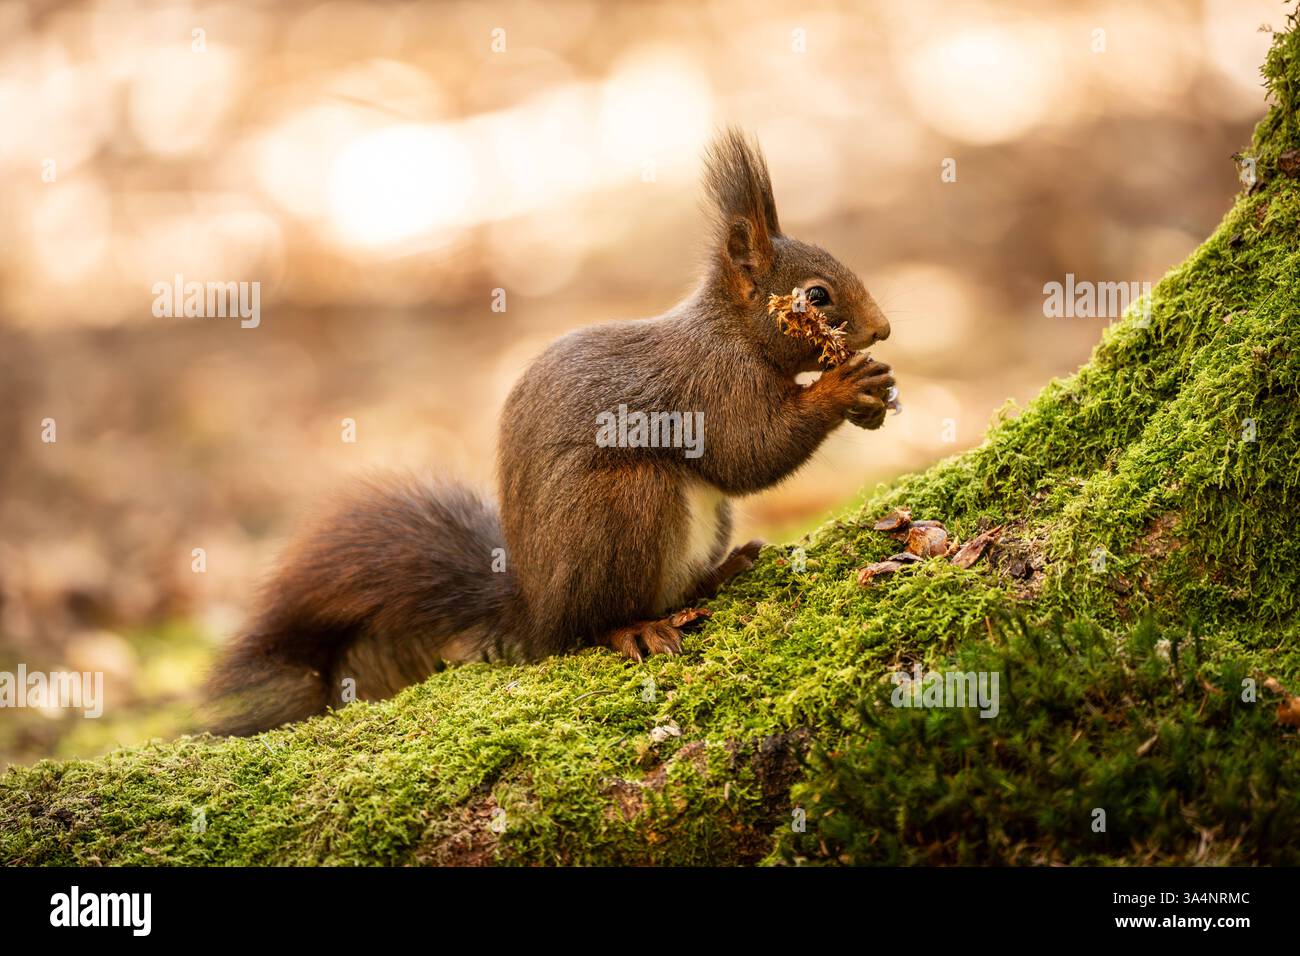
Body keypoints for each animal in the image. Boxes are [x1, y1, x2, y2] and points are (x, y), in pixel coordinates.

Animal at [204, 129, 893, 736]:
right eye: (817, 296)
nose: (883, 330)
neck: (735, 331)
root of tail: (534, 611)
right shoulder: (712, 387)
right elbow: (747, 455)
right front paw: (841, 388)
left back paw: (721, 573)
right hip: (623, 505)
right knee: (588, 628)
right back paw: (632, 628)